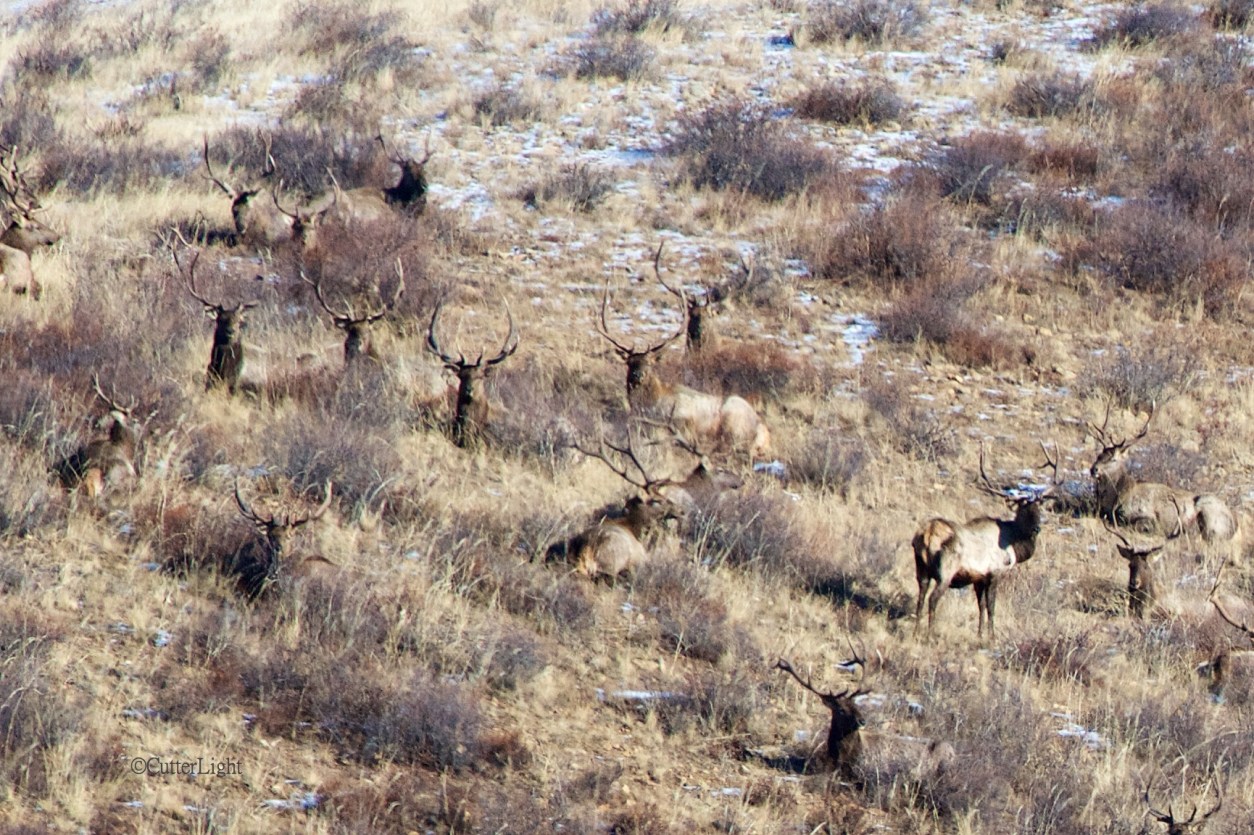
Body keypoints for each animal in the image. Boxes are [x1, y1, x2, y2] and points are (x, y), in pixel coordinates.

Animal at [545, 433, 683, 581]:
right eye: (657, 500)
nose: (681, 510)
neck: (636, 530)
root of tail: (584, 550)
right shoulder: (642, 556)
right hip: (615, 557)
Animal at [596, 255, 770, 459]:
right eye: (630, 363)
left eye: (649, 364)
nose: (637, 375)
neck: (649, 406)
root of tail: (763, 431)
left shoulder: (683, 418)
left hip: (733, 418)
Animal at [914, 444, 1059, 639]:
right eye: (1023, 510)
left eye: (1038, 509)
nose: (1037, 528)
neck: (1014, 546)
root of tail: (927, 535)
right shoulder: (995, 572)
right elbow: (991, 607)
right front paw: (991, 637)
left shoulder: (978, 578)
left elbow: (980, 606)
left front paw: (980, 634)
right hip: (946, 570)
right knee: (933, 599)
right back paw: (930, 635)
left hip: (921, 568)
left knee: (920, 597)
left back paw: (915, 632)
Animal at [1088, 403, 1236, 542]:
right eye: (1099, 455)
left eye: (1113, 459)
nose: (1093, 469)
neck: (1120, 496)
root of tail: (1235, 524)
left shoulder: (1148, 515)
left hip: (1209, 512)